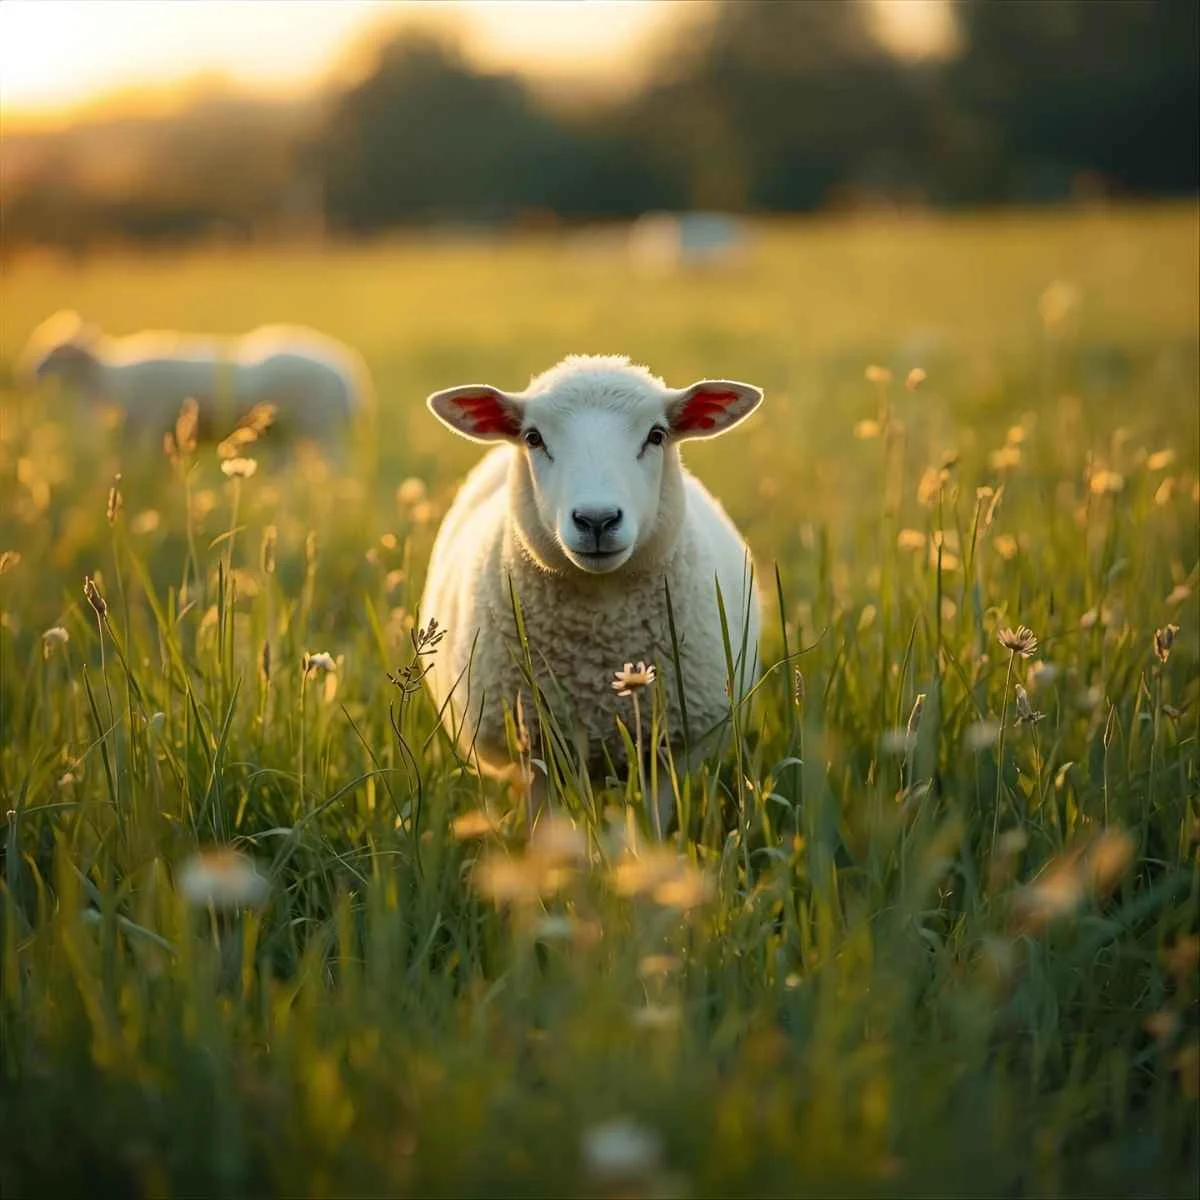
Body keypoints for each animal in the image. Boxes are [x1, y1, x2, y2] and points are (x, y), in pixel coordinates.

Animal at [18, 310, 371, 450]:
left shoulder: (147, 429)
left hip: (322, 428)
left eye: (57, 352)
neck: (108, 378)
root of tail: (350, 375)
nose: (26, 374)